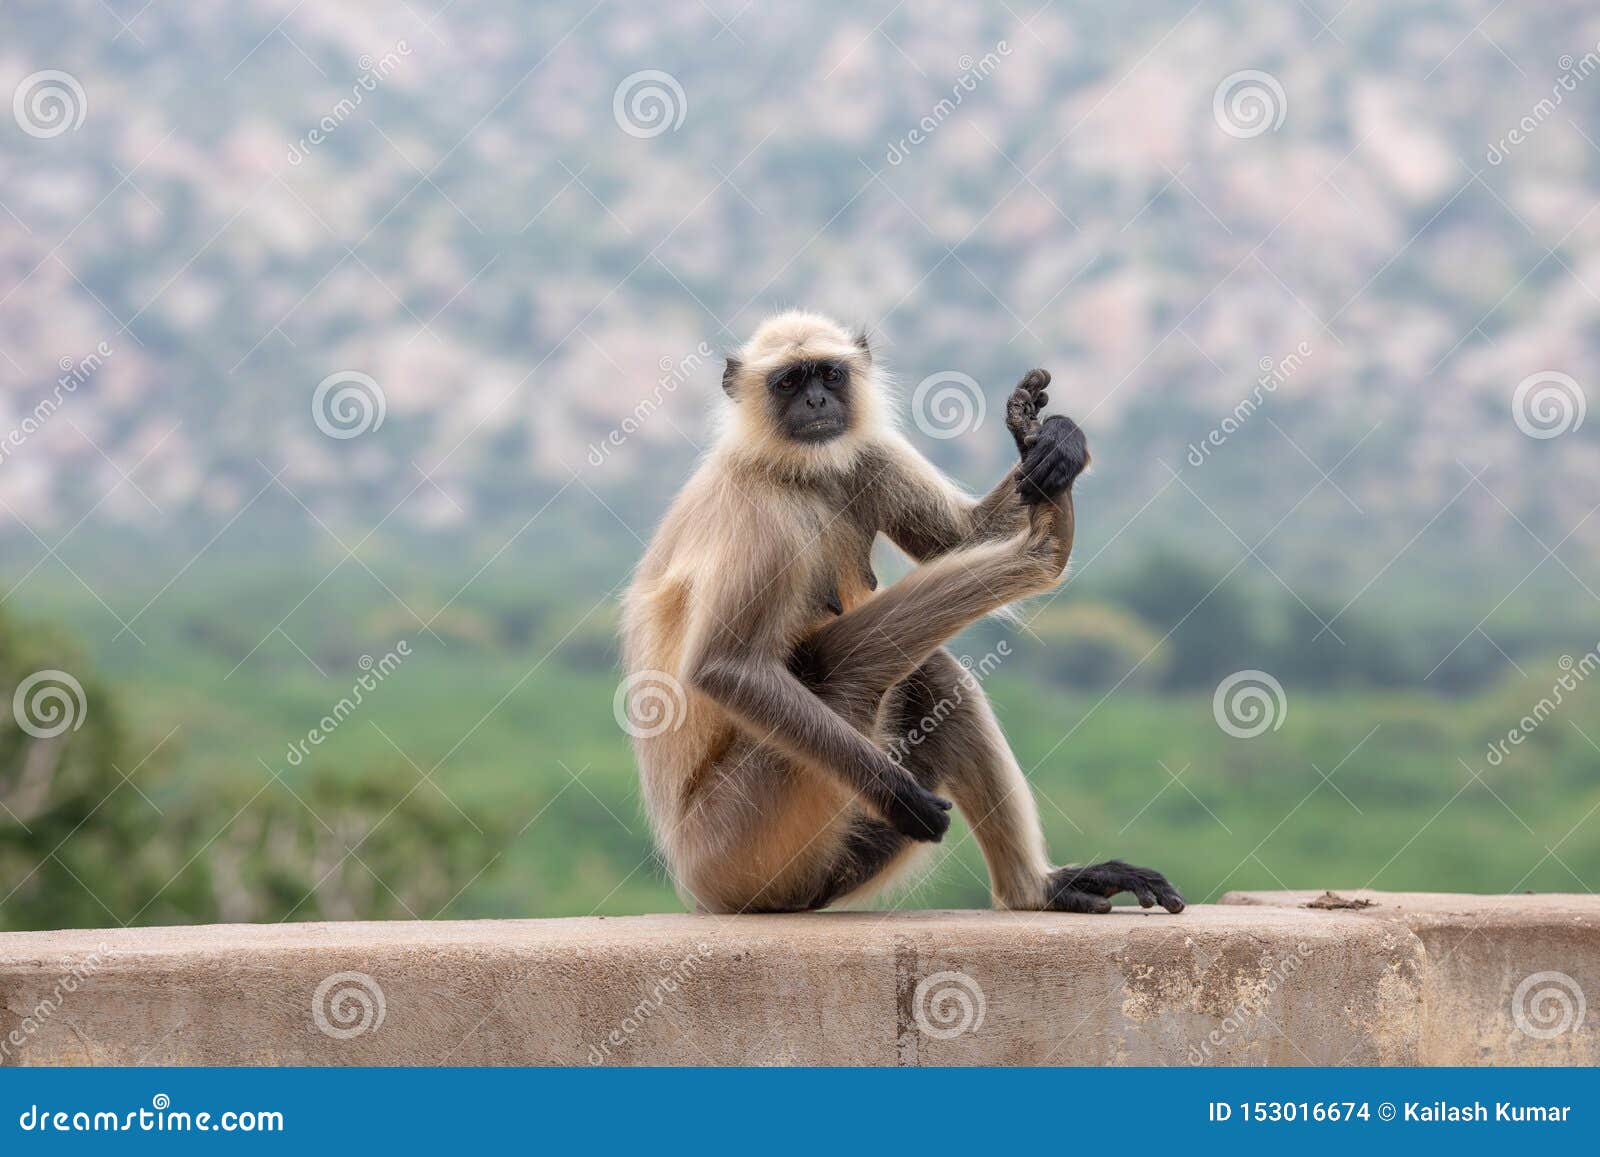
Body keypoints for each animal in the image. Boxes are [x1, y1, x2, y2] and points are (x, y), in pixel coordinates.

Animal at [620, 310, 1184, 917]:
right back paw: (1044, 553)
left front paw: (1050, 436)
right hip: (743, 848)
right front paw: (894, 791)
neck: (795, 472)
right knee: (842, 668)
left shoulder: (869, 455)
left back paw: (1036, 889)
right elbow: (724, 668)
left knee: (934, 672)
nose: (816, 402)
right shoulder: (758, 514)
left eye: (829, 375)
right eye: (789, 382)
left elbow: (965, 536)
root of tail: (690, 879)